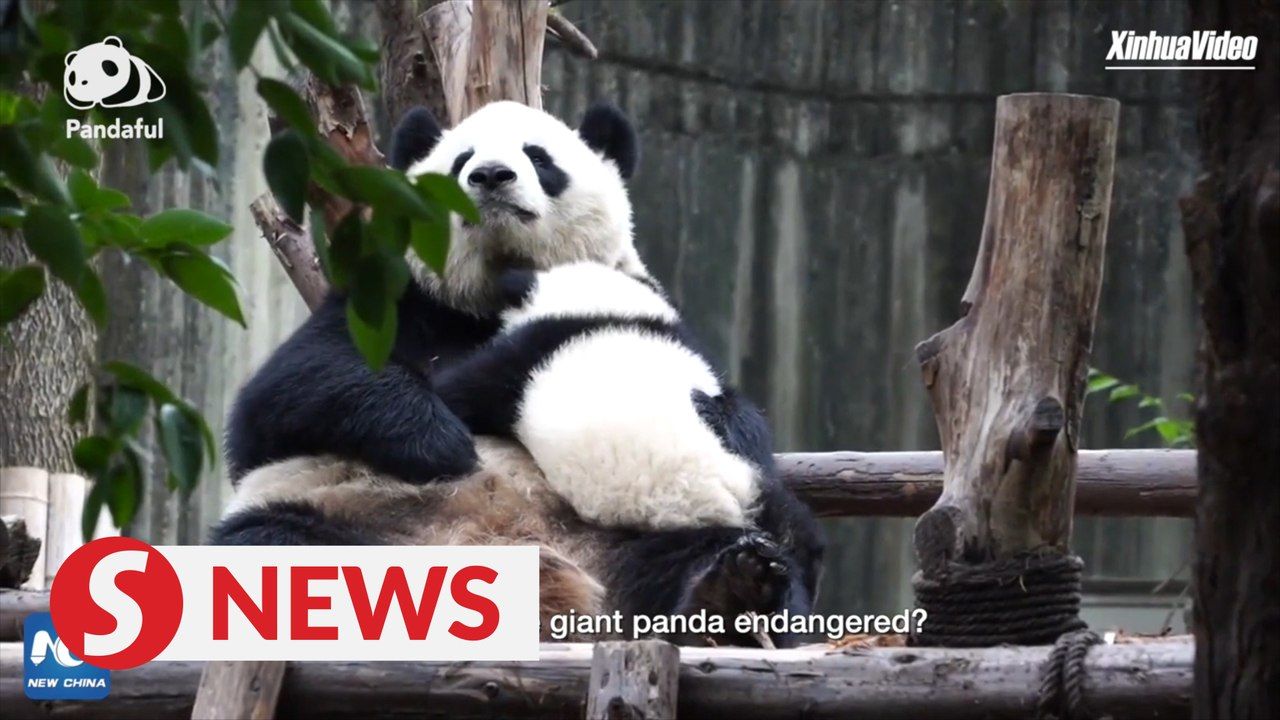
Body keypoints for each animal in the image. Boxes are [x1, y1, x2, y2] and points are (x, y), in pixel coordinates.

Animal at [213, 101, 824, 646]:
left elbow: (739, 412)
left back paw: (733, 591)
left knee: (743, 548)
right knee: (272, 550)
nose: (489, 176)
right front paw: (439, 440)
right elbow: (281, 399)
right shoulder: (392, 302)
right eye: (460, 161)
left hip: (637, 539)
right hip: (347, 515)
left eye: (539, 157)